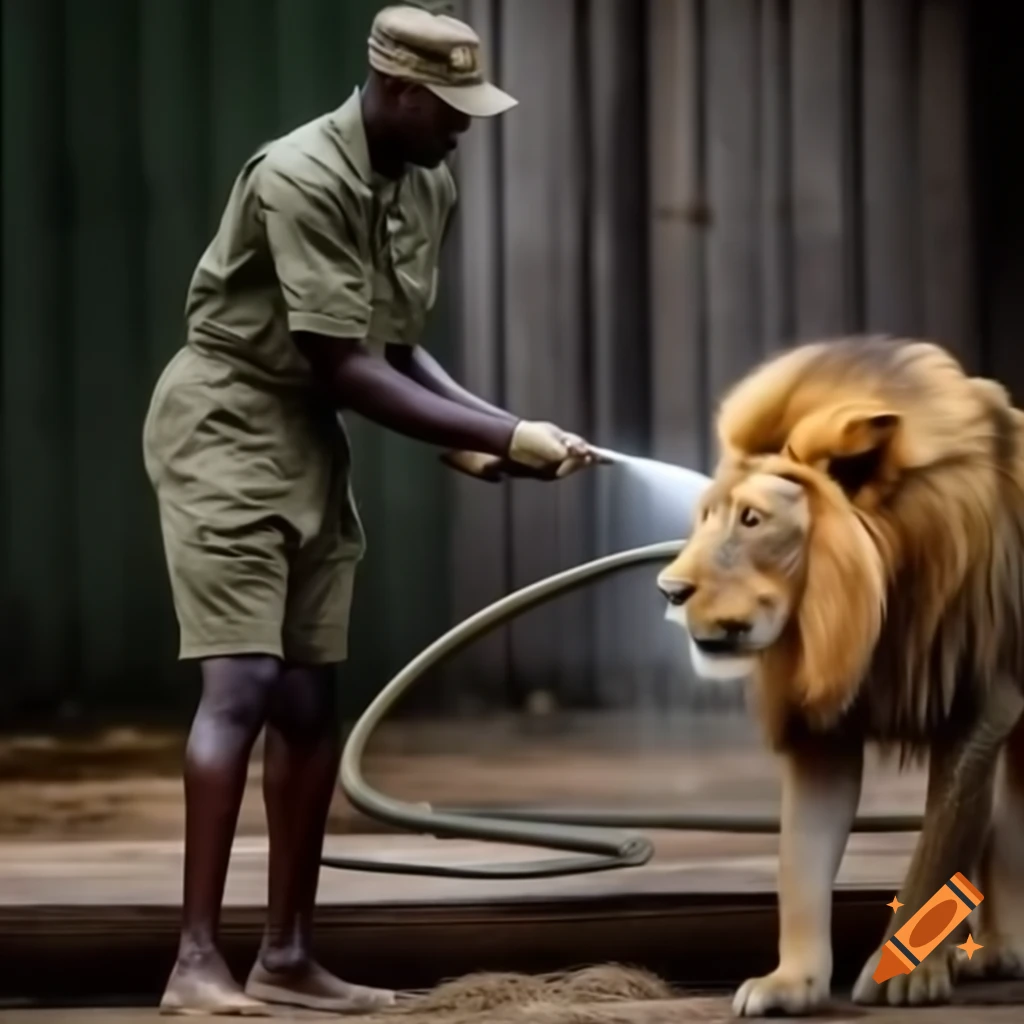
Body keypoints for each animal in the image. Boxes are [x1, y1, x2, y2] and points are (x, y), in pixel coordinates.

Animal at [656, 336, 1024, 1016]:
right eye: (705, 516)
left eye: (752, 520)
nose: (668, 589)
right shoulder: (819, 731)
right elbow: (798, 864)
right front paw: (790, 983)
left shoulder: (981, 707)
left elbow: (941, 846)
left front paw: (905, 975)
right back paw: (1001, 947)